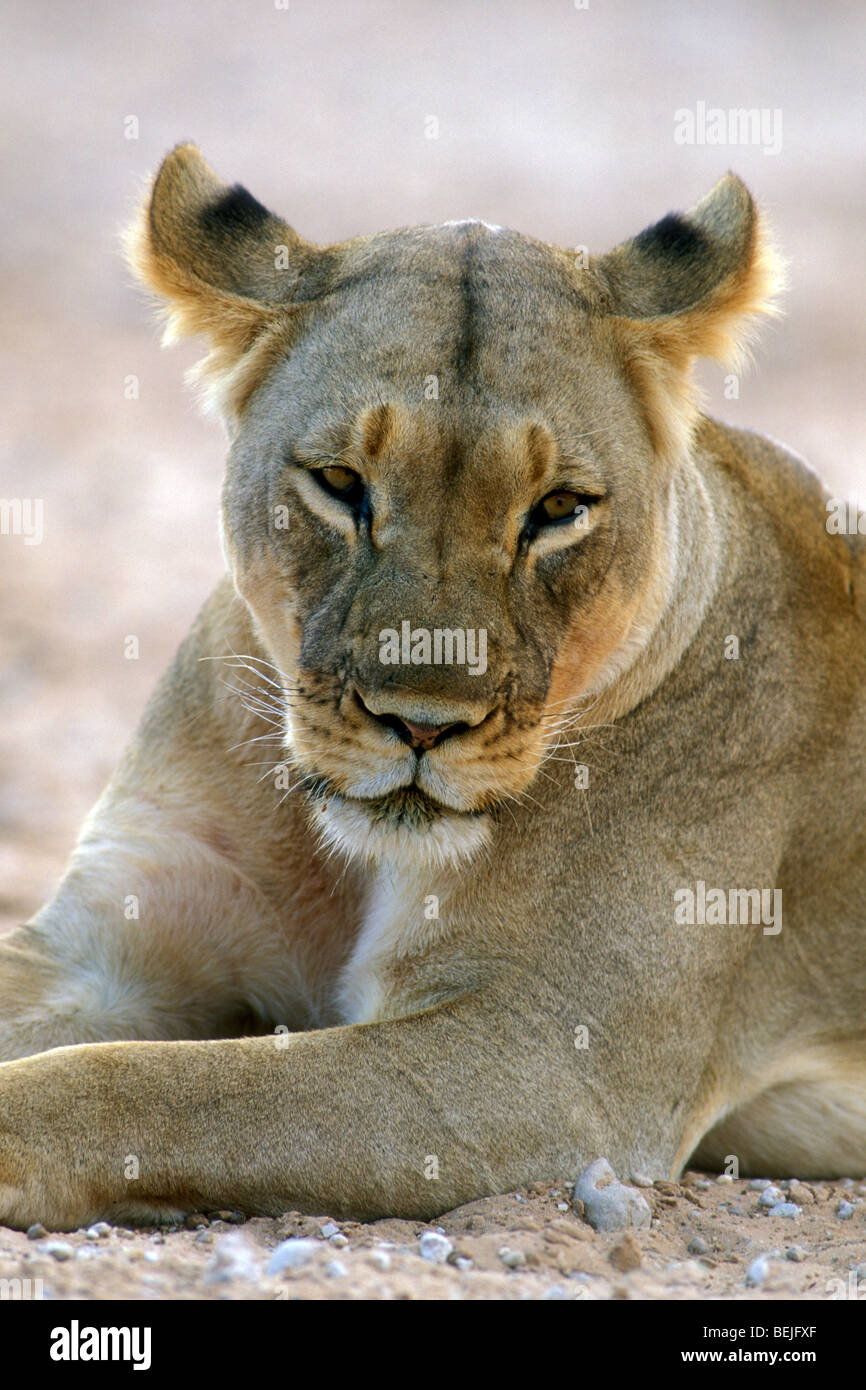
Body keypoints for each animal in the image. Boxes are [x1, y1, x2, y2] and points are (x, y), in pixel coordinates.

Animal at [0, 145, 864, 1231]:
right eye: (340, 484)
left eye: (558, 510)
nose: (420, 725)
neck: (347, 856)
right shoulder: (106, 943)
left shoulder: (539, 1060)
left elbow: (154, 1083)